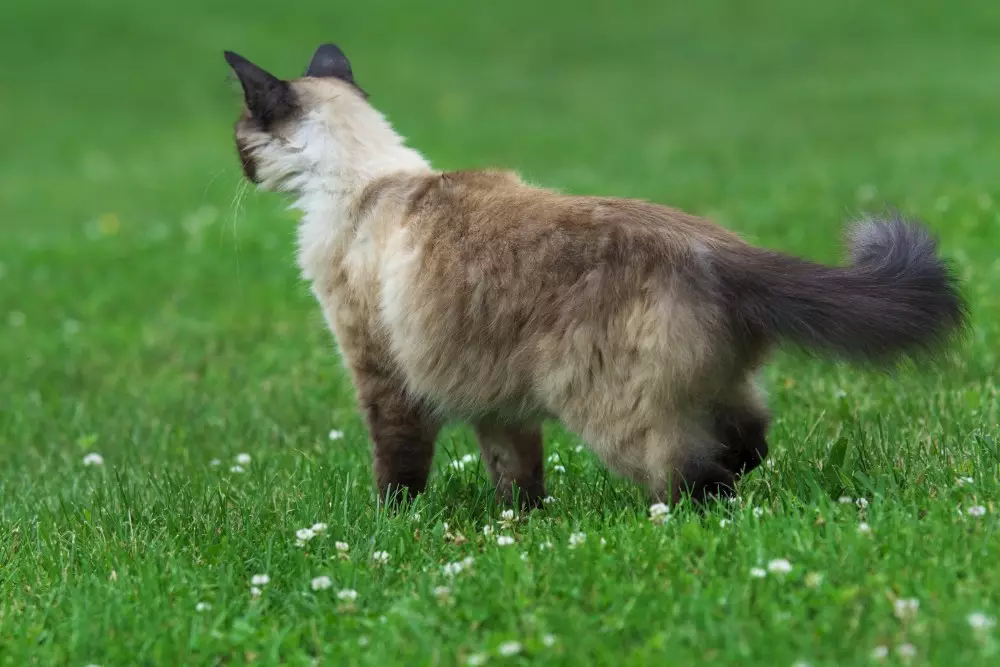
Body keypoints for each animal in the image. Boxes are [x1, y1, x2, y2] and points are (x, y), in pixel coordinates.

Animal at [223, 43, 964, 506]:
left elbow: (398, 470)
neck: (365, 180)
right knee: (749, 441)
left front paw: (390, 527)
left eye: (238, 136)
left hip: (613, 411)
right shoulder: (496, 401)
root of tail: (718, 248)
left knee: (694, 477)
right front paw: (520, 526)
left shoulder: (382, 372)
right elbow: (517, 477)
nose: (240, 166)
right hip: (713, 385)